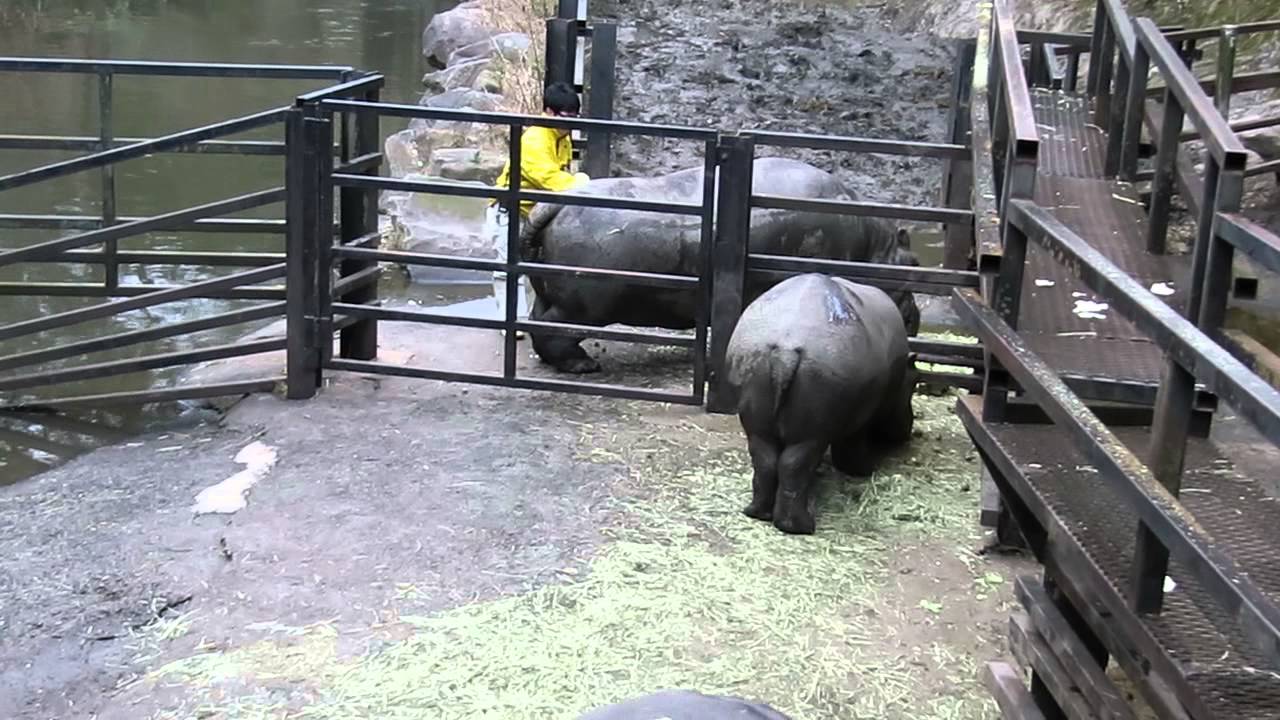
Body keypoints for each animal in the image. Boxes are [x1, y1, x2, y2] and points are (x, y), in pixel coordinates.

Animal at [519, 157, 922, 374]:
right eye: (915, 263)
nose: (916, 320)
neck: (876, 249)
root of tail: (553, 203)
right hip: (582, 305)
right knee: (551, 328)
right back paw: (585, 365)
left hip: (555, 293)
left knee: (539, 319)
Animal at [725, 273, 916, 535]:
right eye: (916, 382)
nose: (909, 428)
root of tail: (786, 349)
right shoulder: (860, 422)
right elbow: (850, 455)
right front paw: (867, 469)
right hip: (811, 431)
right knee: (793, 465)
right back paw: (802, 526)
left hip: (758, 420)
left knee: (766, 460)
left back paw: (758, 512)